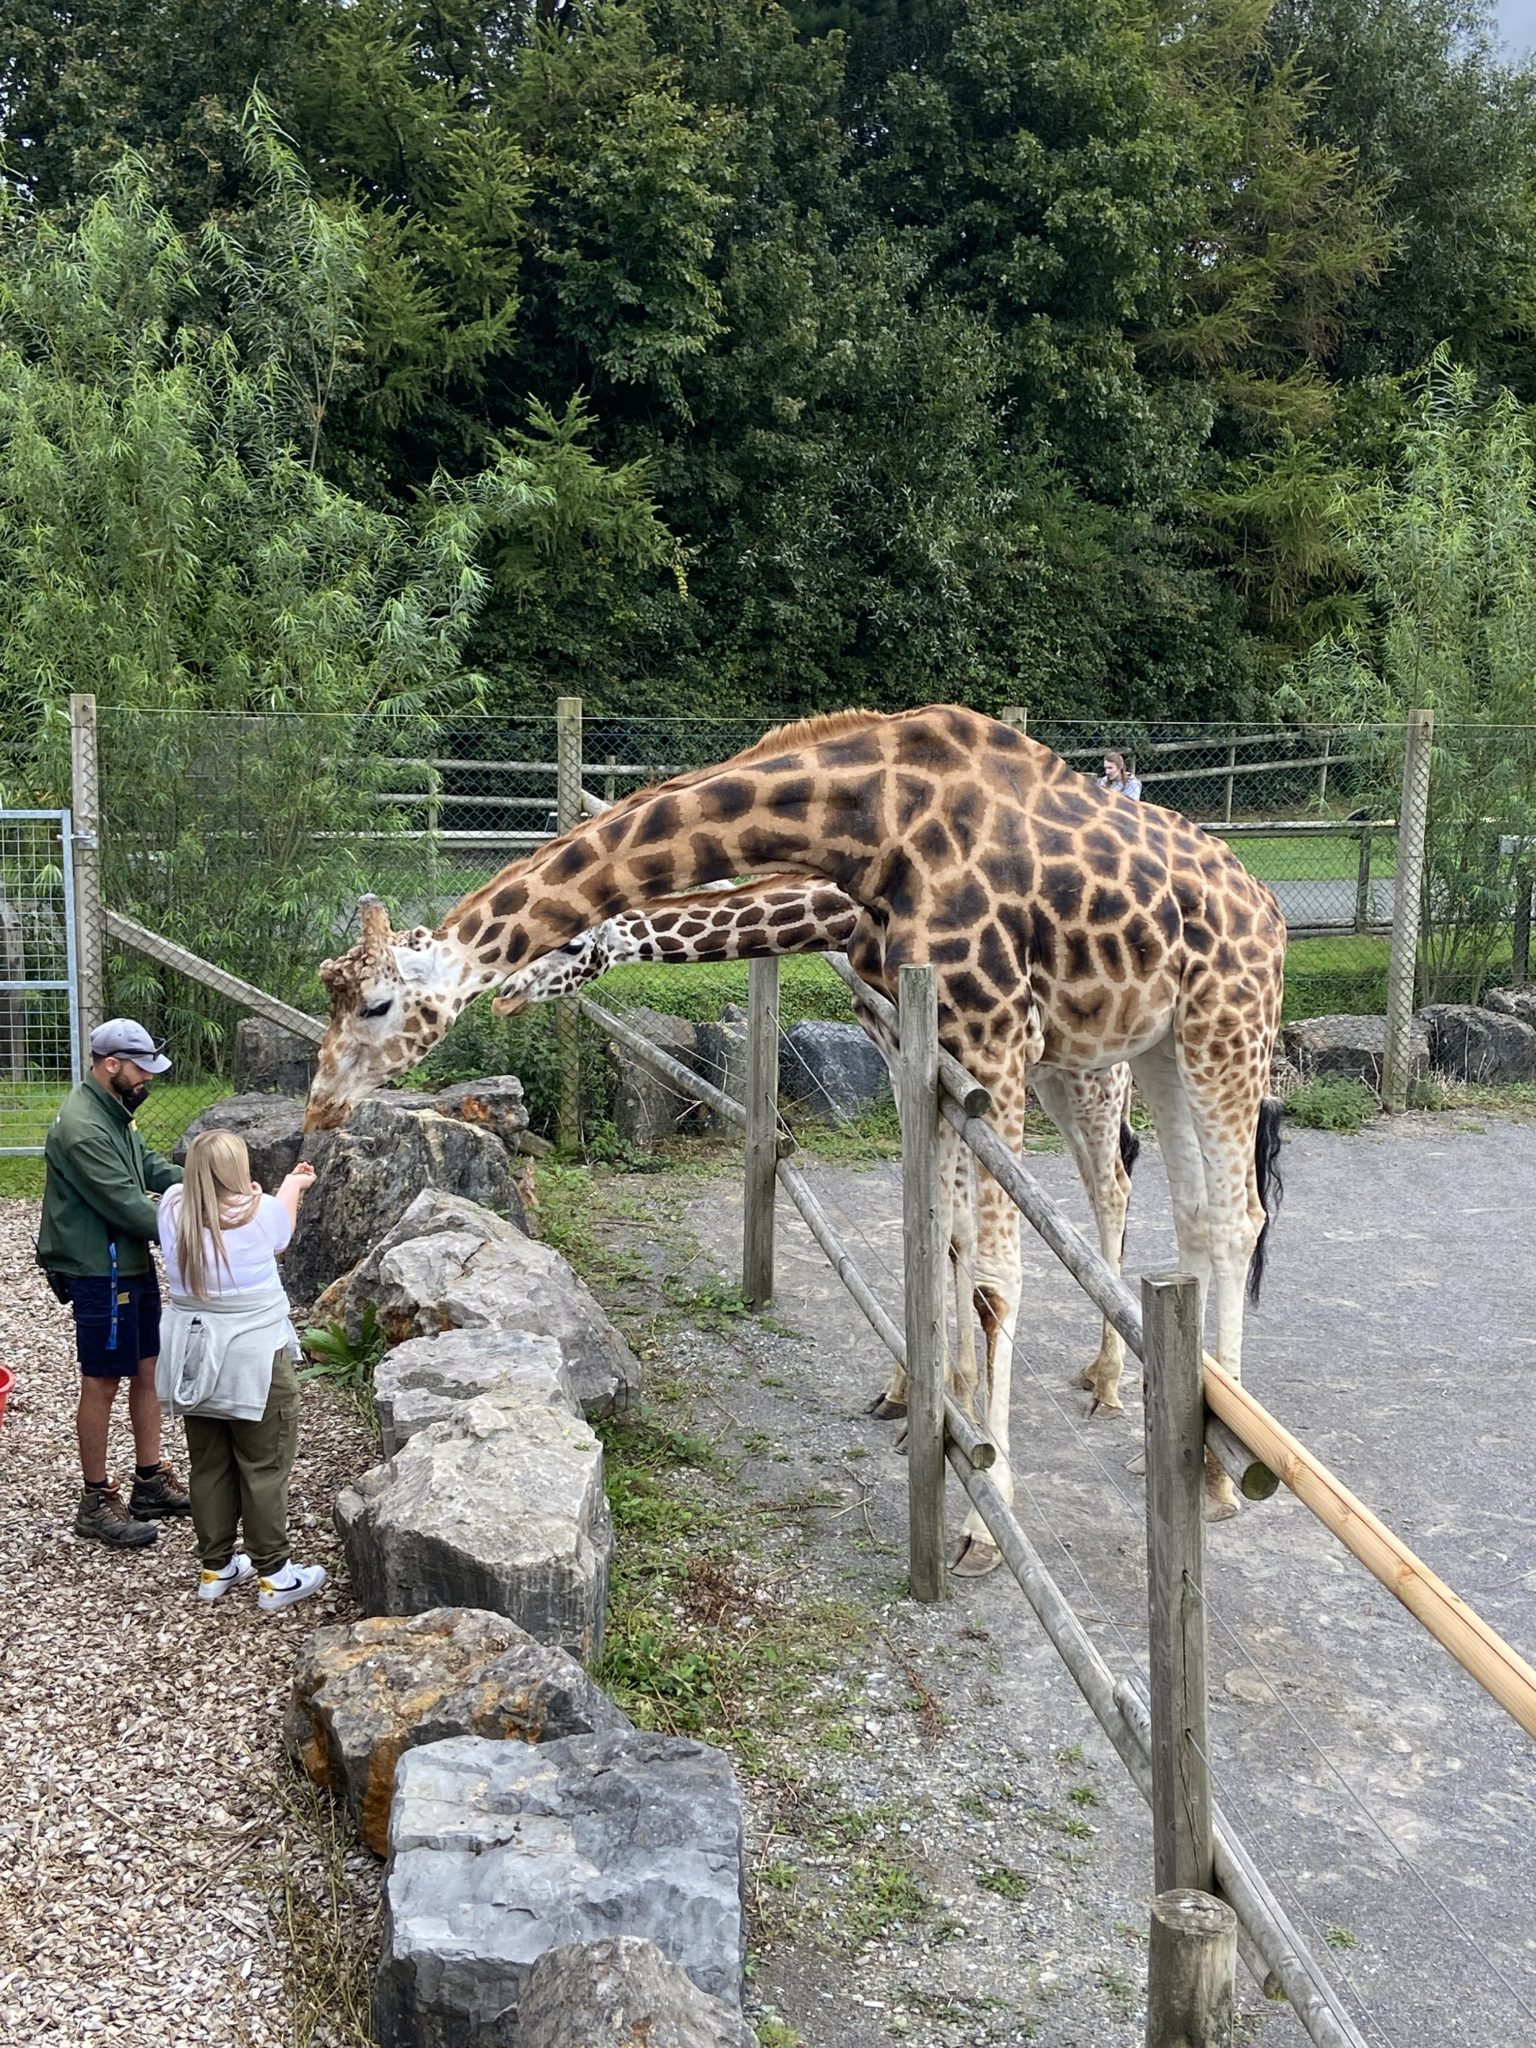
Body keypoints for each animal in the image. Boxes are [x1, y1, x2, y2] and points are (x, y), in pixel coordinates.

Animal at [493, 876, 1141, 1423]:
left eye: (573, 944)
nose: (502, 995)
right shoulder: (917, 1066)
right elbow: (948, 1224)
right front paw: (923, 1389)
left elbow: (955, 1227)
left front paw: (951, 1393)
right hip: (1055, 1075)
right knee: (1109, 1179)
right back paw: (1095, 1371)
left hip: (1093, 1074)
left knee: (1115, 1186)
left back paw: (1111, 1383)